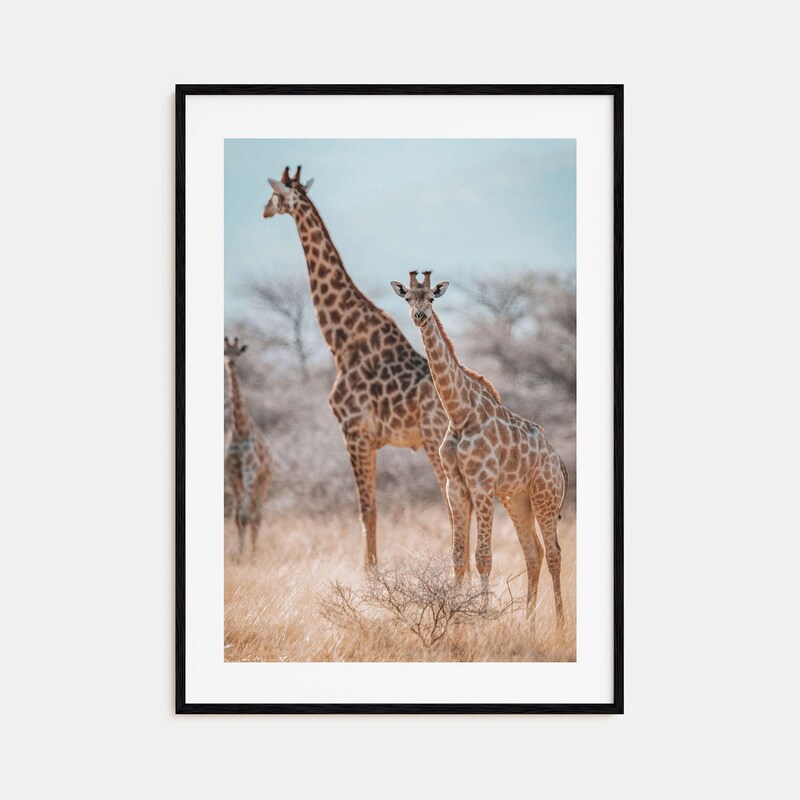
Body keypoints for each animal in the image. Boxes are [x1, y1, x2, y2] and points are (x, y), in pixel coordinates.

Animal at [262, 166, 449, 569]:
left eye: (274, 195)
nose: (264, 211)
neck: (341, 339)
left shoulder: (353, 430)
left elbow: (366, 510)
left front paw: (370, 575)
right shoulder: (371, 438)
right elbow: (372, 507)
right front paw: (372, 571)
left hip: (434, 441)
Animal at [390, 271, 569, 626]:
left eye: (431, 297)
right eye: (408, 298)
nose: (420, 316)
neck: (459, 412)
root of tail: (559, 462)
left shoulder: (482, 485)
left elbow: (483, 556)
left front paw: (482, 618)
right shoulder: (455, 485)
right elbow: (459, 557)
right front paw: (456, 618)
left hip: (544, 496)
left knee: (554, 553)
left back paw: (558, 623)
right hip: (517, 498)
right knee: (534, 552)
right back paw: (528, 622)